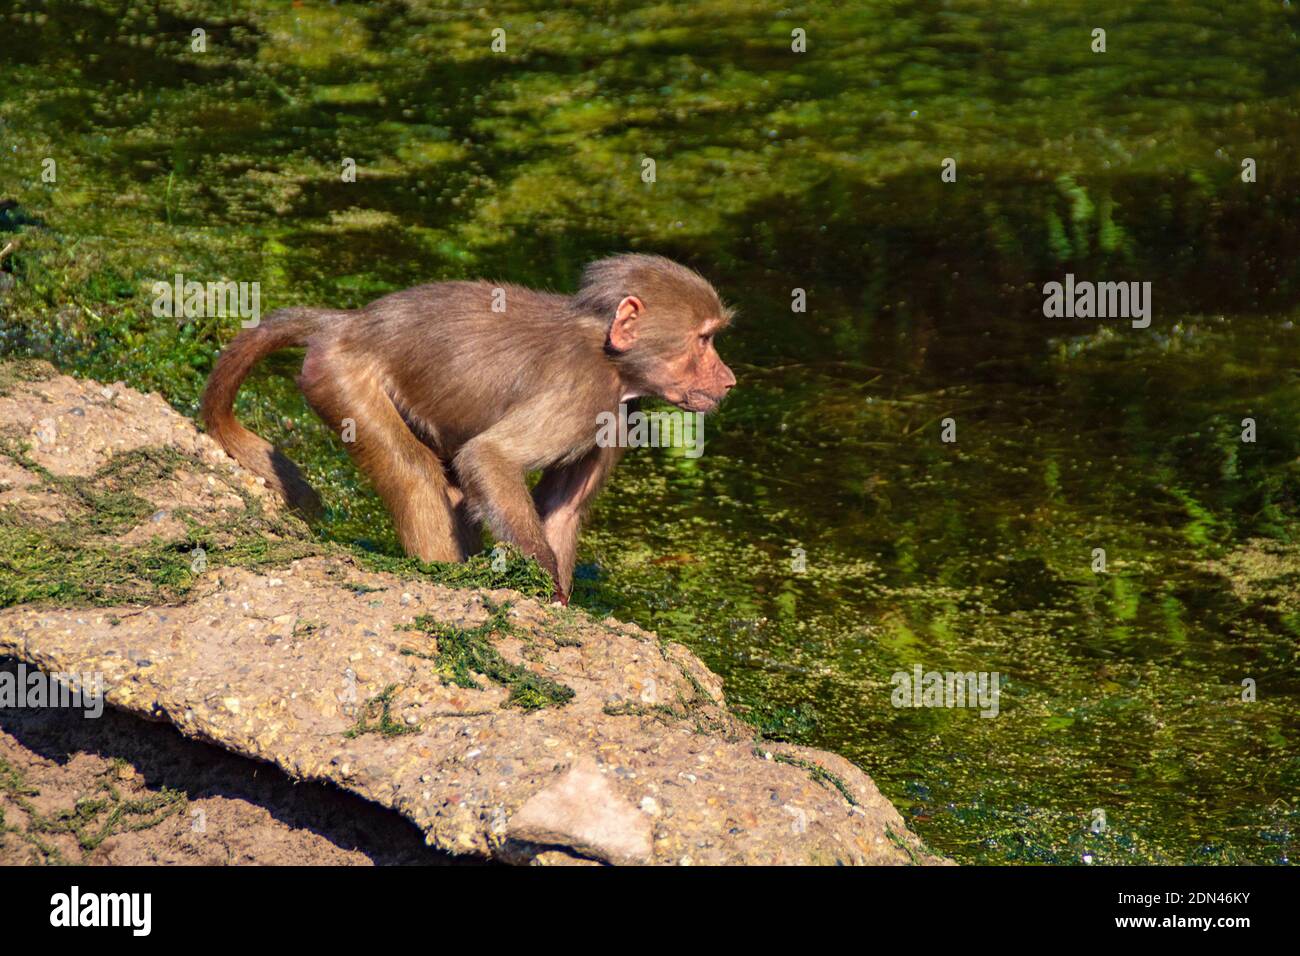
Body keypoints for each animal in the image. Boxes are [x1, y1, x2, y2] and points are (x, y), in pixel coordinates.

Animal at [200, 254, 736, 604]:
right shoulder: (582, 393)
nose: (729, 380)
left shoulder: (619, 415)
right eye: (704, 340)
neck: (610, 356)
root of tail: (349, 323)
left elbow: (562, 510)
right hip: (339, 376)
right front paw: (544, 592)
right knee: (416, 474)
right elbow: (490, 457)